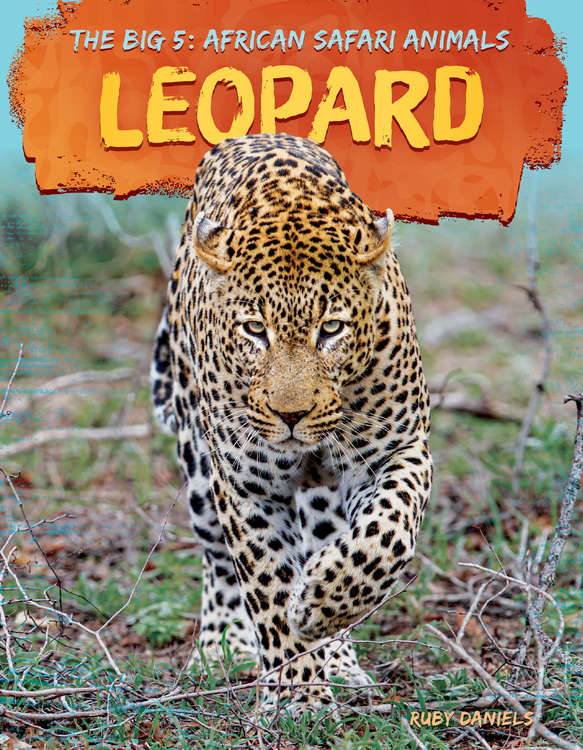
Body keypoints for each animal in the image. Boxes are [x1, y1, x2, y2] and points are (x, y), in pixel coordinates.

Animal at [151, 132, 432, 715]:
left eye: (332, 329)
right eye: (254, 329)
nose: (291, 415)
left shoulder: (399, 451)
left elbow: (387, 533)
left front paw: (321, 606)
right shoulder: (246, 487)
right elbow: (268, 590)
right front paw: (299, 696)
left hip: (323, 498)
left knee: (330, 539)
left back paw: (338, 653)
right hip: (199, 472)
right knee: (218, 563)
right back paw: (221, 648)